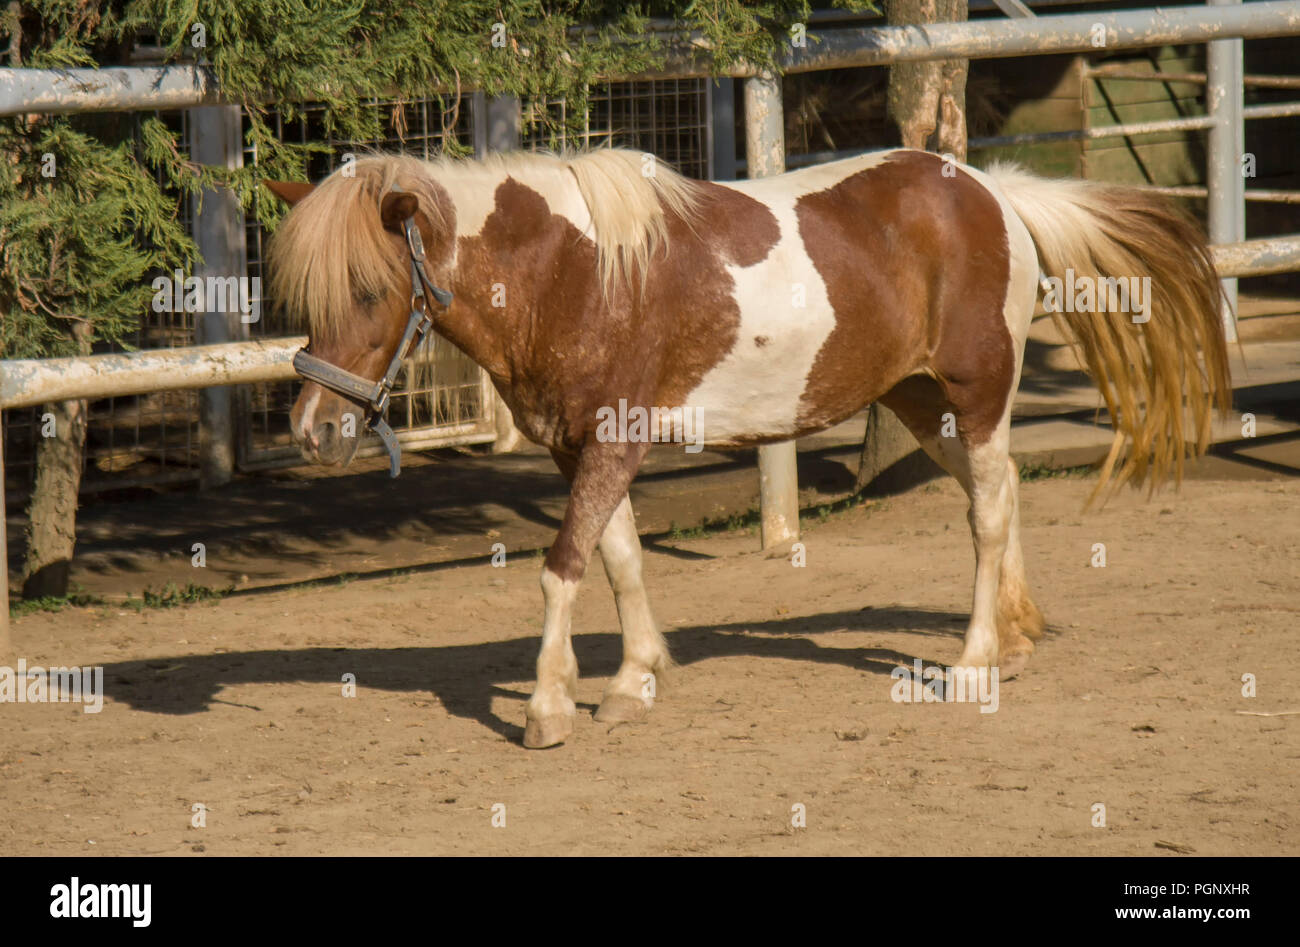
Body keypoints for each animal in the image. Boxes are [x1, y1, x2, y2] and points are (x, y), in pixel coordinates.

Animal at [263, 147, 1231, 748]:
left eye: (368, 287)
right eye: (305, 296)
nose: (313, 430)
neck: (572, 271)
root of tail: (993, 191)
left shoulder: (612, 438)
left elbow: (564, 565)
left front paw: (548, 706)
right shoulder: (581, 449)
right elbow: (619, 558)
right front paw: (633, 681)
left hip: (975, 394)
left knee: (988, 514)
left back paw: (971, 662)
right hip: (924, 403)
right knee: (1002, 493)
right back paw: (1017, 641)